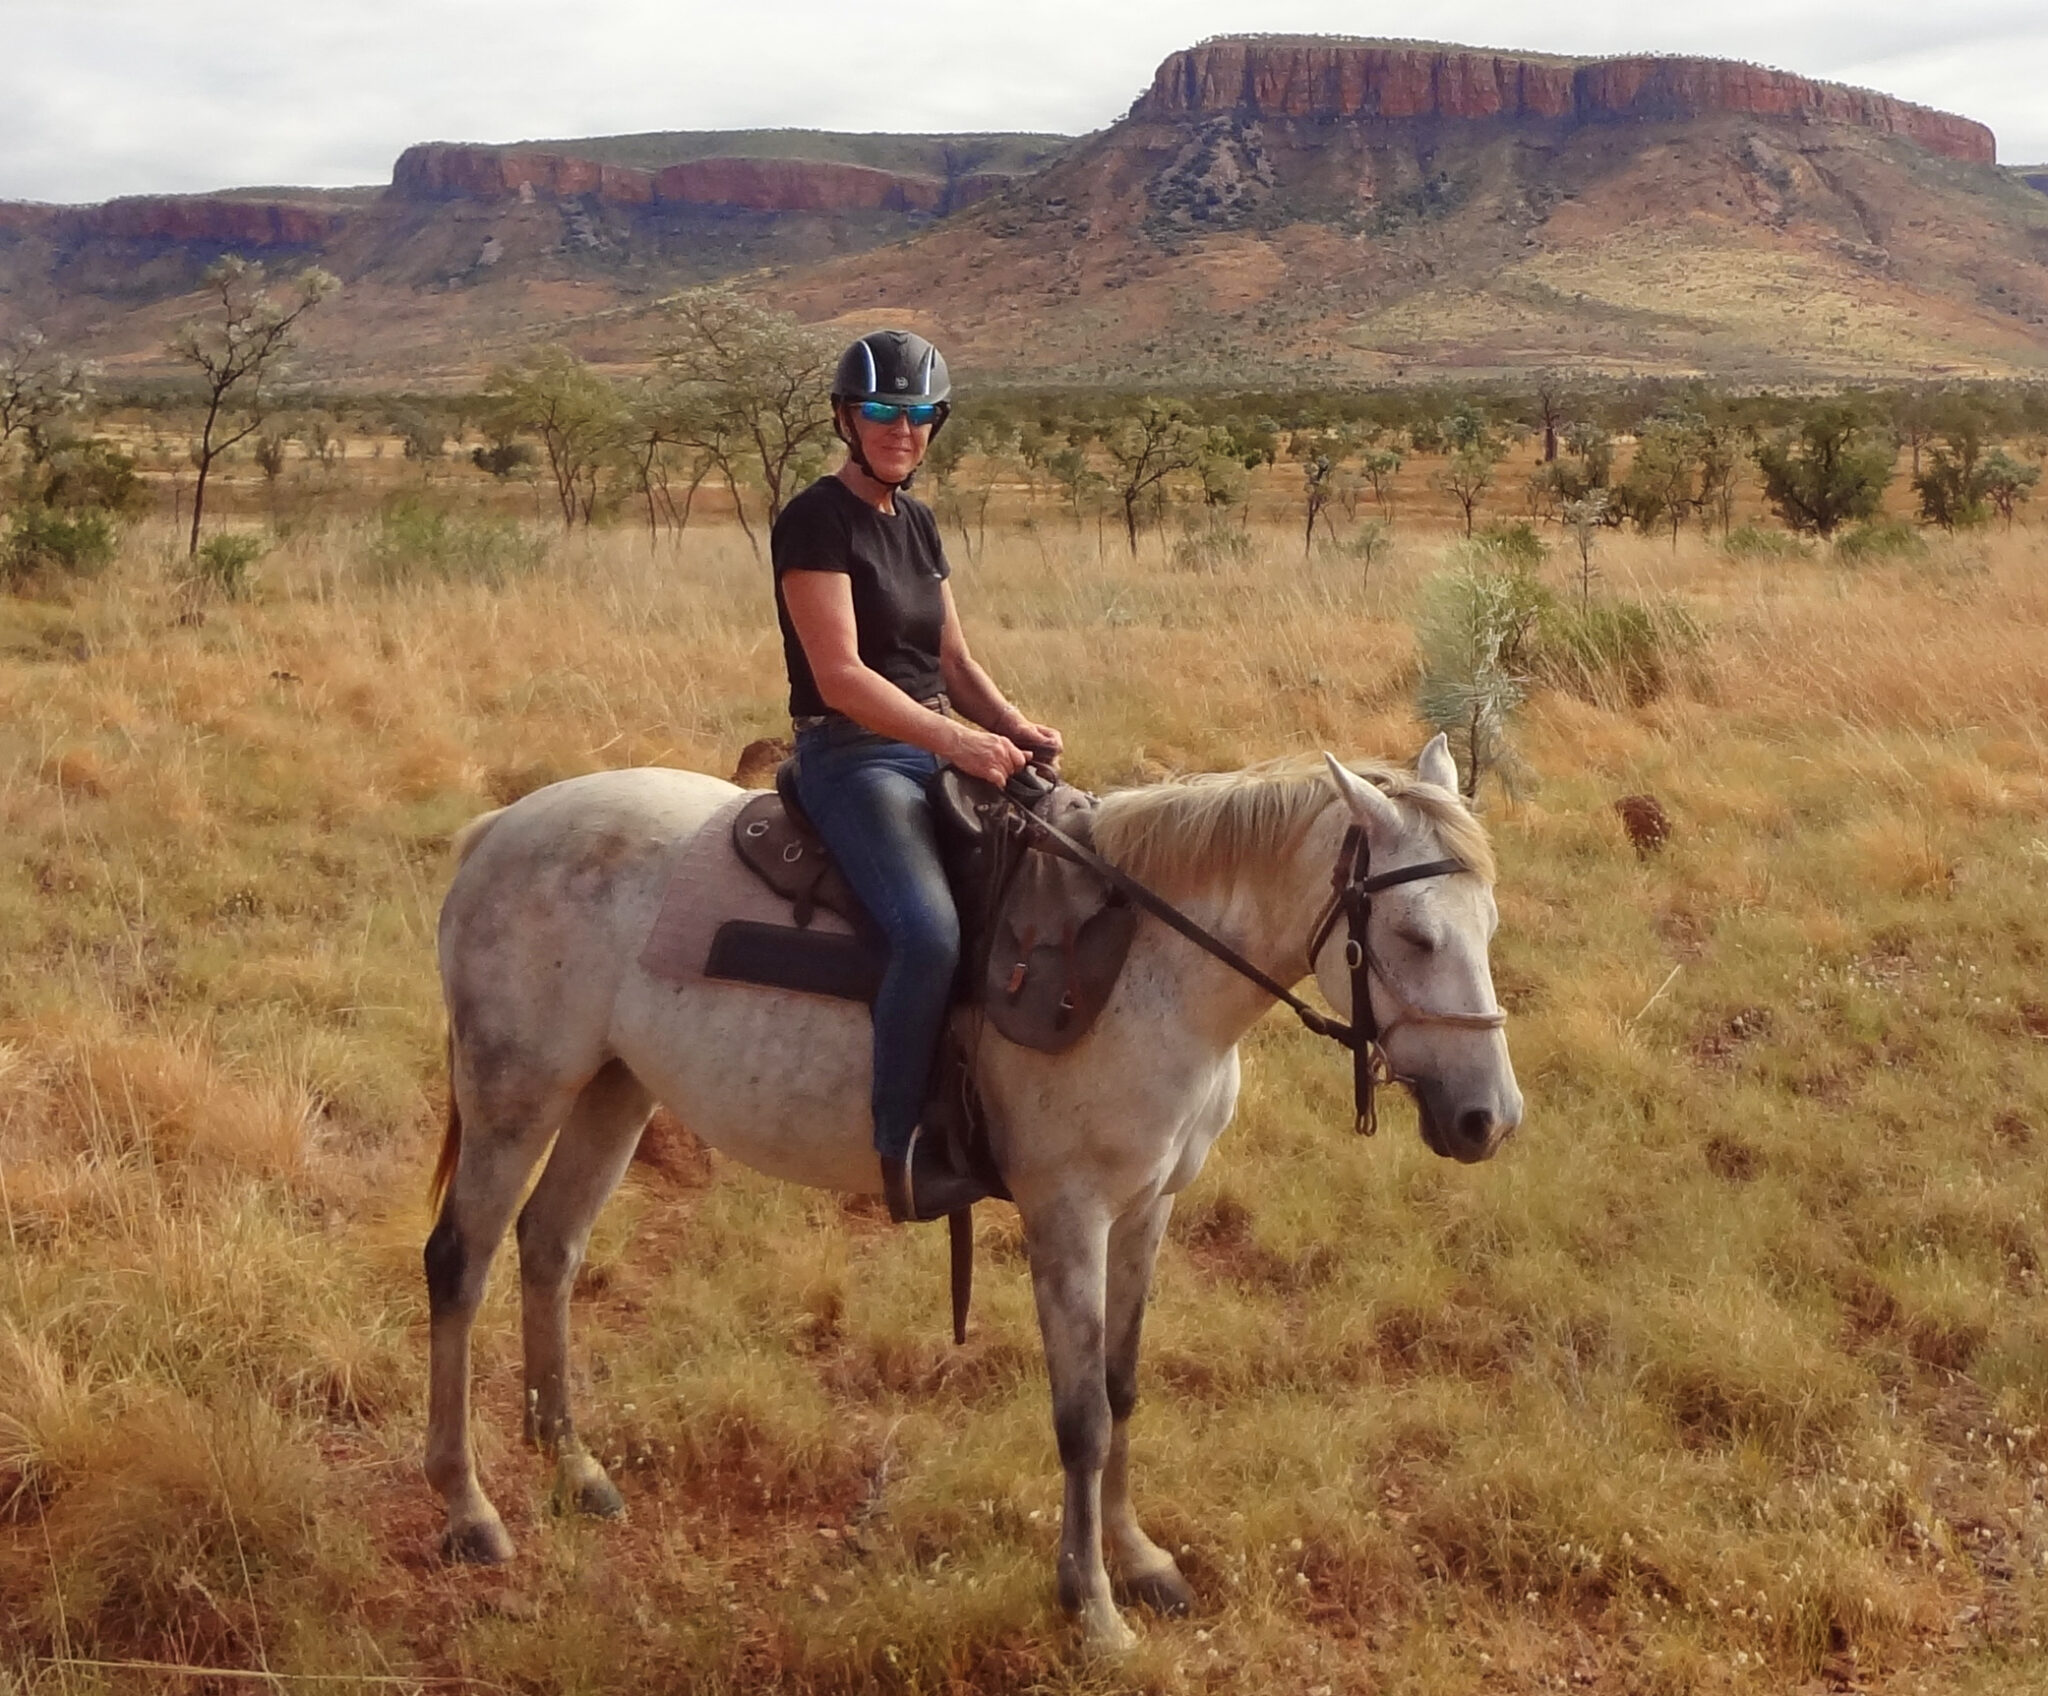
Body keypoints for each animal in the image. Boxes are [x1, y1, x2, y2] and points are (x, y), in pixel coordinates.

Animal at [422, 735, 1521, 1652]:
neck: (1152, 970)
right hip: (515, 1091)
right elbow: (1079, 1413)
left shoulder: (1148, 1207)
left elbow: (1122, 1387)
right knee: (459, 1264)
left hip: (613, 1087)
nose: (1489, 1119)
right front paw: (1092, 1608)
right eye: (1414, 937)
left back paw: (573, 1467)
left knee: (549, 1247)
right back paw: (468, 1508)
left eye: (1488, 925)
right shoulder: (1066, 1215)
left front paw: (1139, 1561)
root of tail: (497, 832)